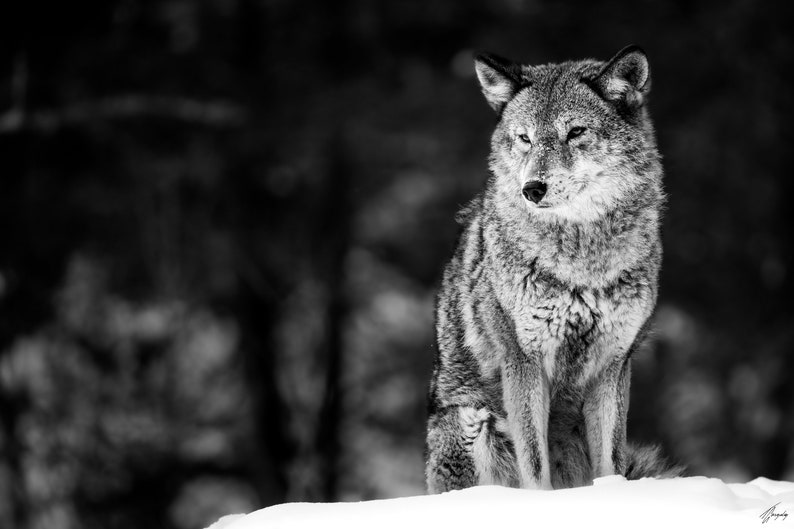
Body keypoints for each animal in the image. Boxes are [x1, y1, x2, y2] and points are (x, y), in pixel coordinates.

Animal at [426, 45, 682, 493]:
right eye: (525, 138)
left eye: (575, 132)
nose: (532, 188)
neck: (583, 265)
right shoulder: (522, 359)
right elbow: (533, 462)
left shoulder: (613, 364)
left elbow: (611, 464)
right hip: (473, 419)